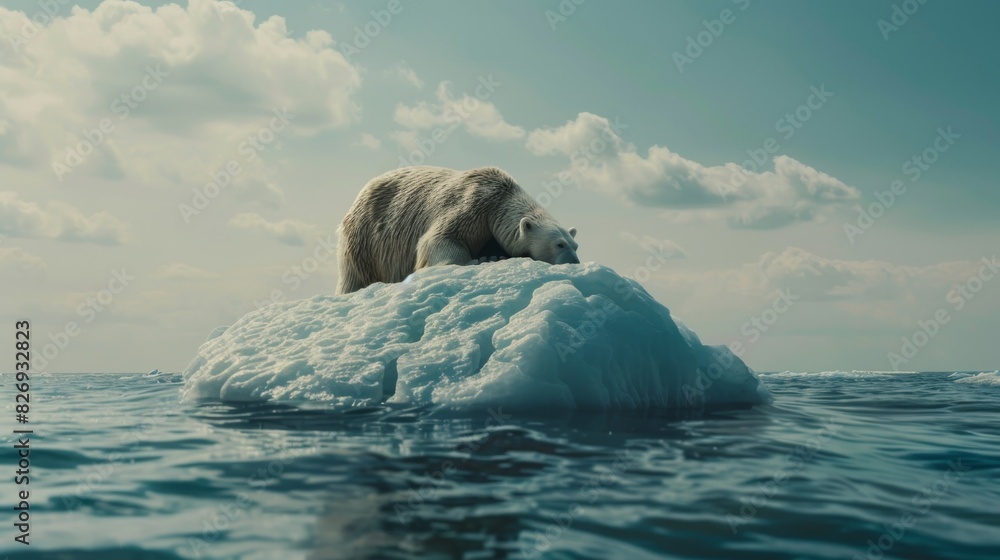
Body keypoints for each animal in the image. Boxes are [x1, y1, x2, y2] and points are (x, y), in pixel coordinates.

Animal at [336, 166, 579, 294]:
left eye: (575, 245)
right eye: (559, 244)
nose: (575, 262)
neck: (498, 201)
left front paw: (493, 256)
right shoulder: (471, 207)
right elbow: (440, 239)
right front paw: (475, 261)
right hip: (366, 238)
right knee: (355, 274)